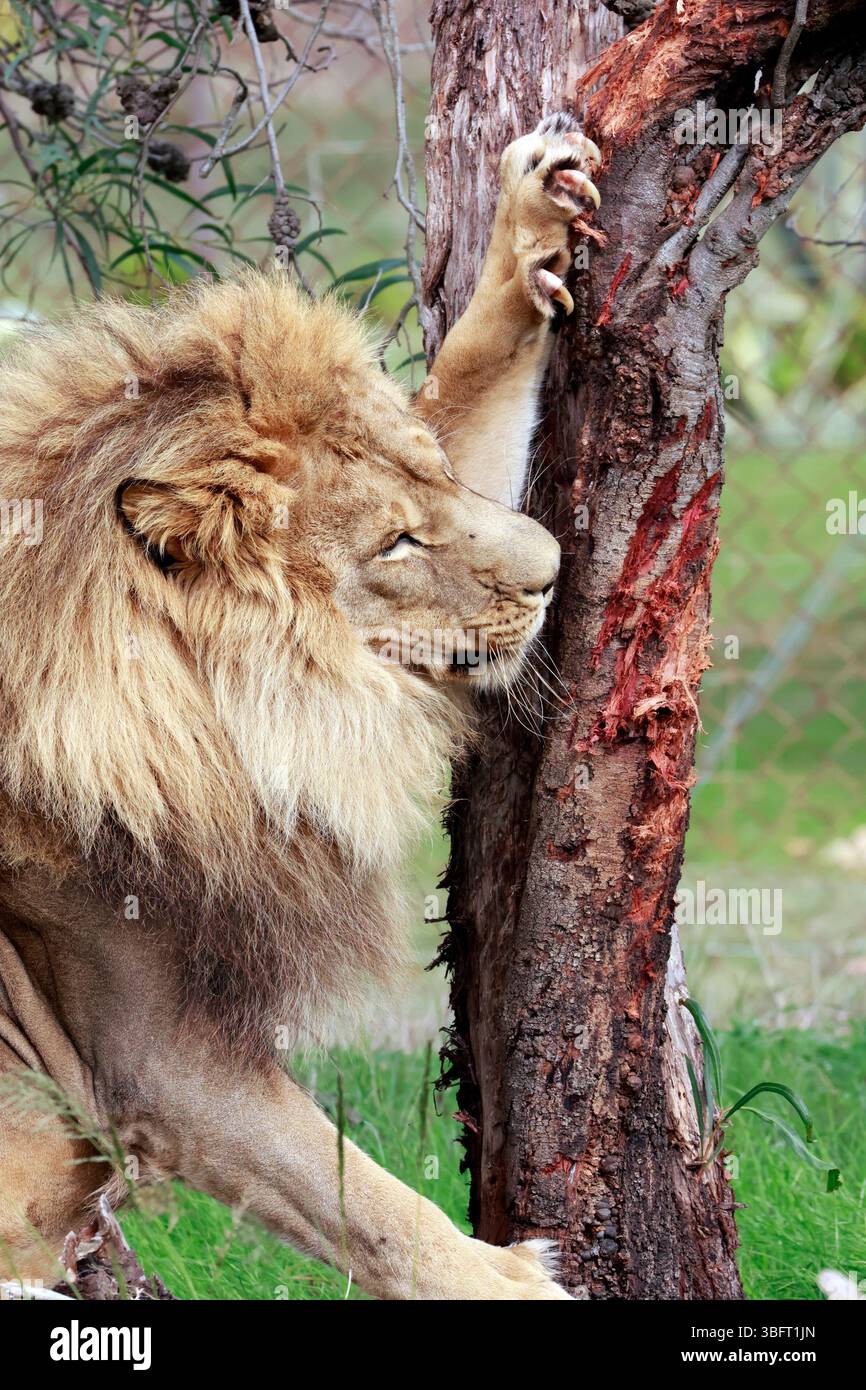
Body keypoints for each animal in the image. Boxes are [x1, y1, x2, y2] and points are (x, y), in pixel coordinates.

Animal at [0, 115, 600, 1300]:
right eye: (394, 543)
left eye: (434, 483)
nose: (554, 568)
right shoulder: (149, 1050)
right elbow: (362, 1196)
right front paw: (509, 1278)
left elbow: (466, 384)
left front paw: (532, 217)